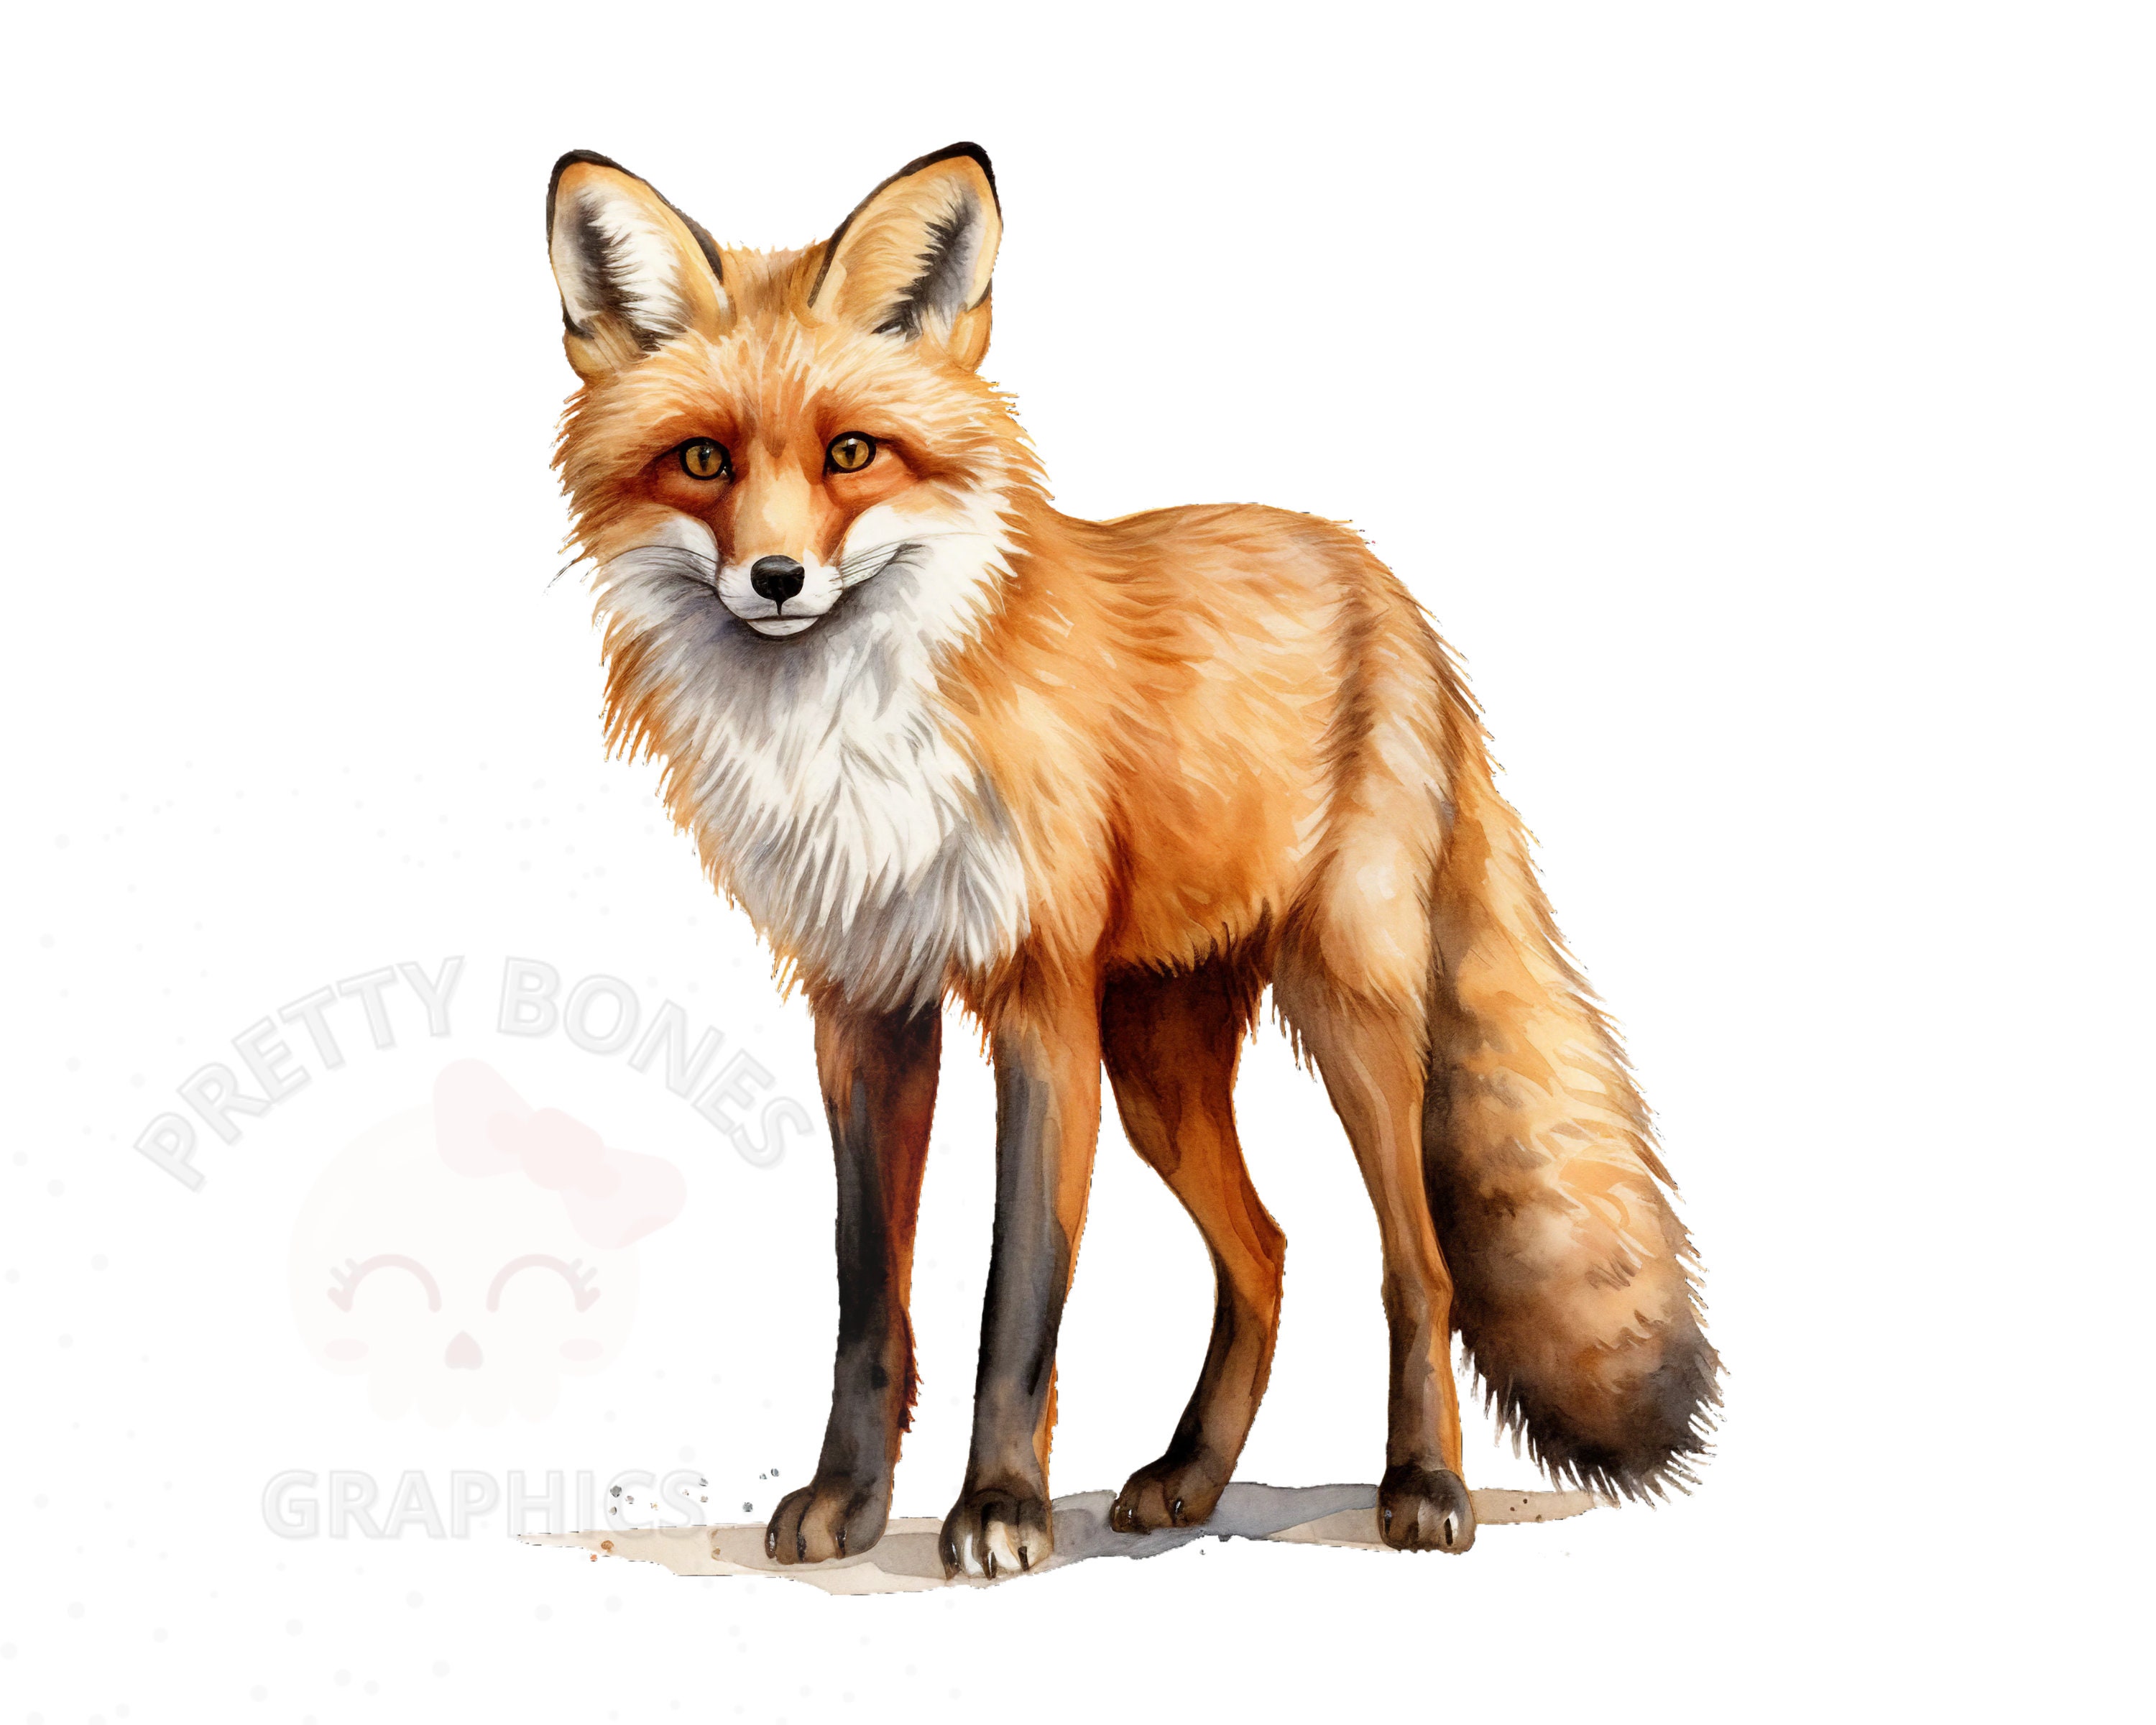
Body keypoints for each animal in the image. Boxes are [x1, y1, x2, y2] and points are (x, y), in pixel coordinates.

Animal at [543, 142, 1718, 1576]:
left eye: (852, 453)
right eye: (702, 459)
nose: (773, 579)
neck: (857, 736)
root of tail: (1379, 579)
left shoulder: (1038, 1001)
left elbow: (1019, 1304)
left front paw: (1000, 1508)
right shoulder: (864, 1008)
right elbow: (870, 1301)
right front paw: (849, 1500)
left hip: (1343, 1005)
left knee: (1418, 1264)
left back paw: (1424, 1484)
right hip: (1158, 1060)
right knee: (1266, 1251)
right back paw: (1191, 1475)